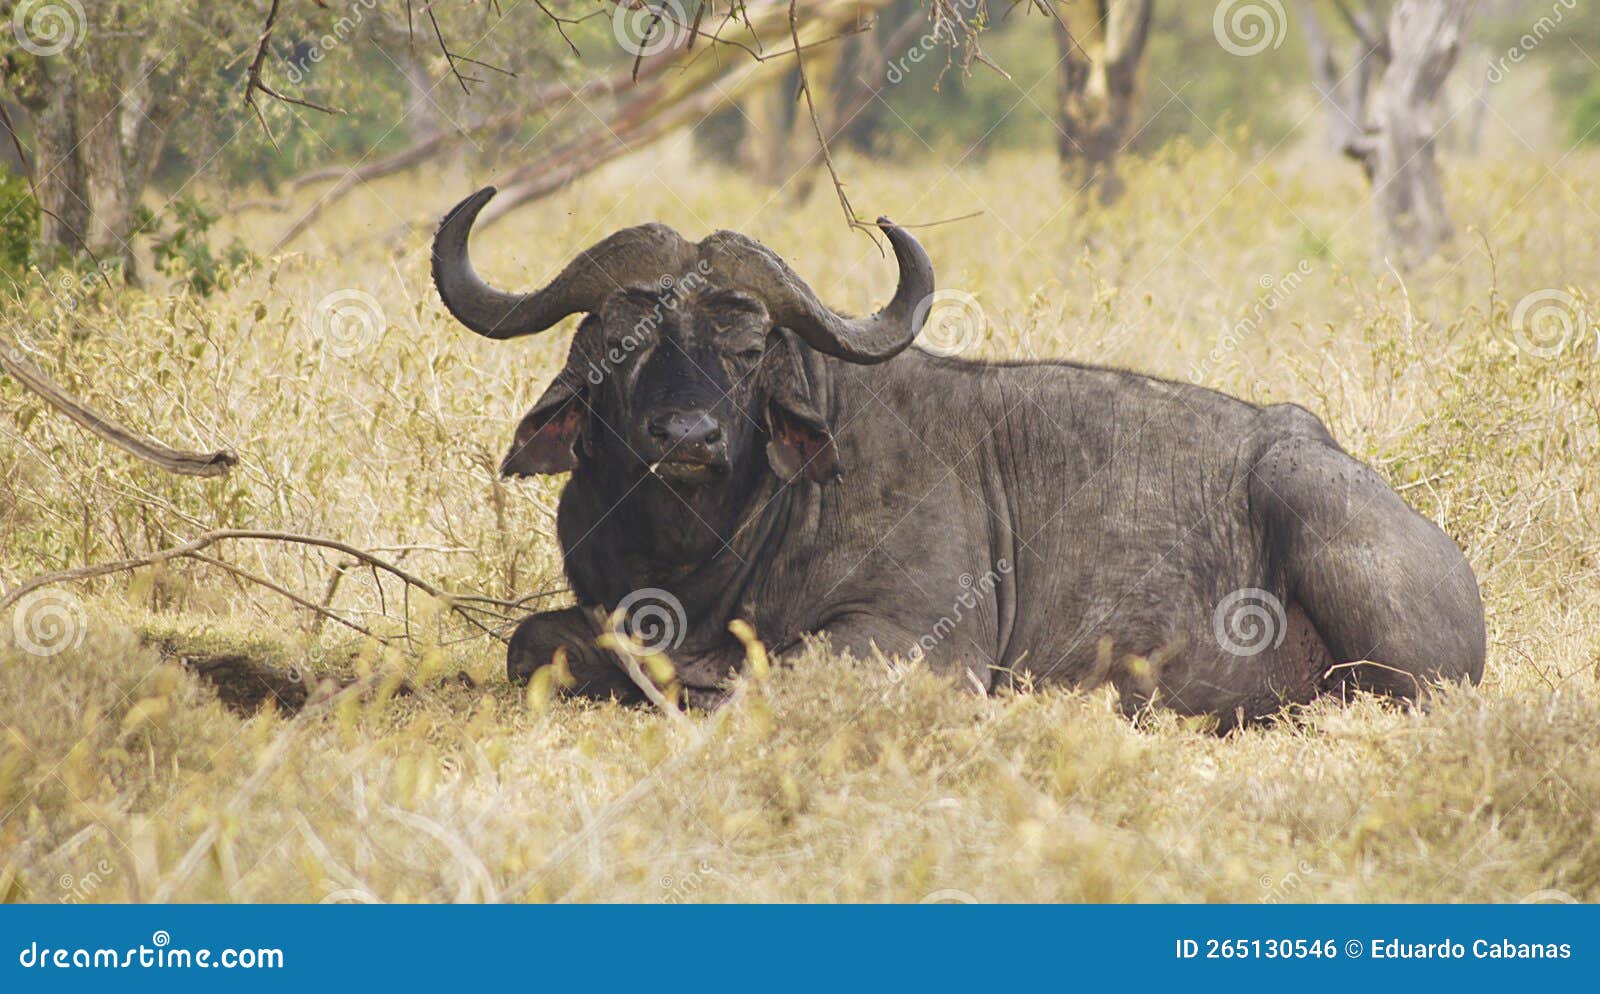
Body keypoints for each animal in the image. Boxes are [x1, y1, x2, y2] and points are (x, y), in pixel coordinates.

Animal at [432, 187, 1484, 728]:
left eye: (748, 346)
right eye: (624, 342)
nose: (687, 438)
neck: (699, 550)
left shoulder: (911, 641)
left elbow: (773, 669)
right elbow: (532, 642)